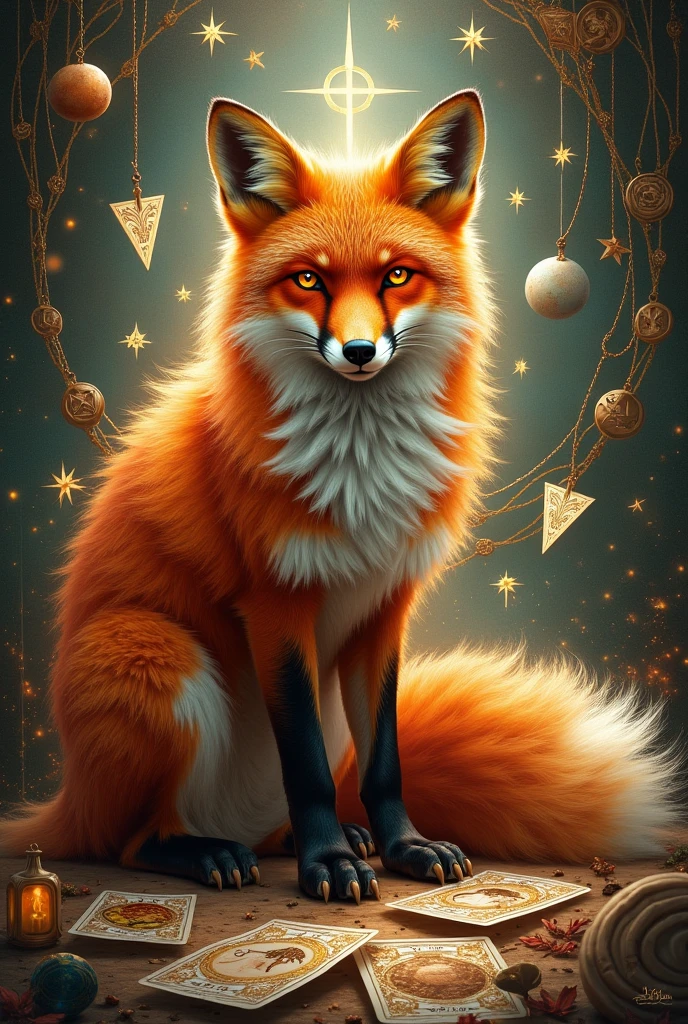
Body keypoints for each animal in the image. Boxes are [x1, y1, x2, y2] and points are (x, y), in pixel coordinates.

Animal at [0, 91, 680, 903]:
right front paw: (328, 865)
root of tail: (67, 801)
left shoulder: (385, 607)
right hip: (152, 652)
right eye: (308, 281)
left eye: (396, 276)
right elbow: (310, 770)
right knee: (132, 841)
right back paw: (215, 853)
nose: (359, 352)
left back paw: (320, 839)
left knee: (266, 816)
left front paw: (403, 847)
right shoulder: (276, 603)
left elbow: (382, 763)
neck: (360, 475)